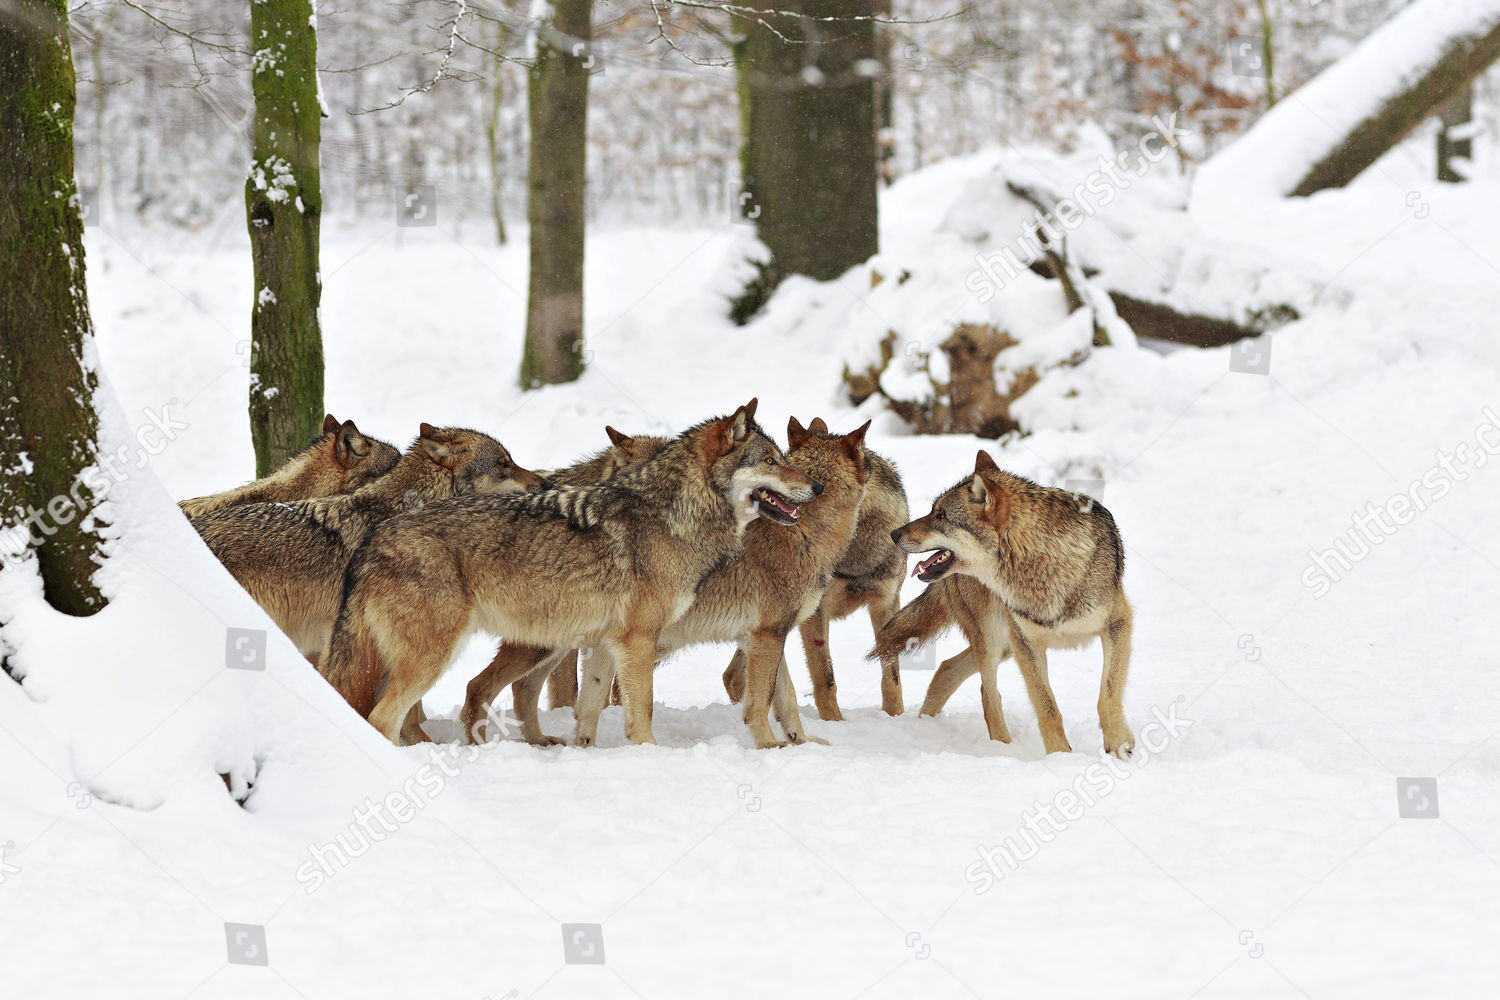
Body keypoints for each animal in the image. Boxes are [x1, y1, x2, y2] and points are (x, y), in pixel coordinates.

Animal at [325, 400, 823, 745]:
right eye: (771, 461)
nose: (817, 486)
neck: (674, 516)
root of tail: (372, 539)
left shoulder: (607, 642)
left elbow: (590, 710)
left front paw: (587, 752)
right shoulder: (639, 640)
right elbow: (641, 711)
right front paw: (652, 756)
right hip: (433, 658)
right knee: (383, 719)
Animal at [464, 416, 872, 749]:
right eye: (773, 462)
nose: (817, 487)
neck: (805, 531)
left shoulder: (763, 637)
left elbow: (787, 703)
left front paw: (802, 743)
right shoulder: (768, 635)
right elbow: (761, 703)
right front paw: (770, 747)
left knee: (518, 688)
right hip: (550, 645)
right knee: (482, 686)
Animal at [720, 417, 909, 720]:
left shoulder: (886, 604)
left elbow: (892, 677)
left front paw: (895, 718)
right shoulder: (814, 614)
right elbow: (826, 678)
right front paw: (834, 722)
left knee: (732, 677)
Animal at [873, 451, 1135, 757]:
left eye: (940, 515)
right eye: (932, 511)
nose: (894, 534)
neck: (1041, 565)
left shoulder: (1118, 623)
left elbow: (1107, 694)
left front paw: (1118, 743)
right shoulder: (1026, 644)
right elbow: (1048, 709)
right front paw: (1059, 756)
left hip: (1003, 644)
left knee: (948, 668)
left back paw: (927, 723)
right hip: (994, 637)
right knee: (987, 693)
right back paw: (1001, 749)